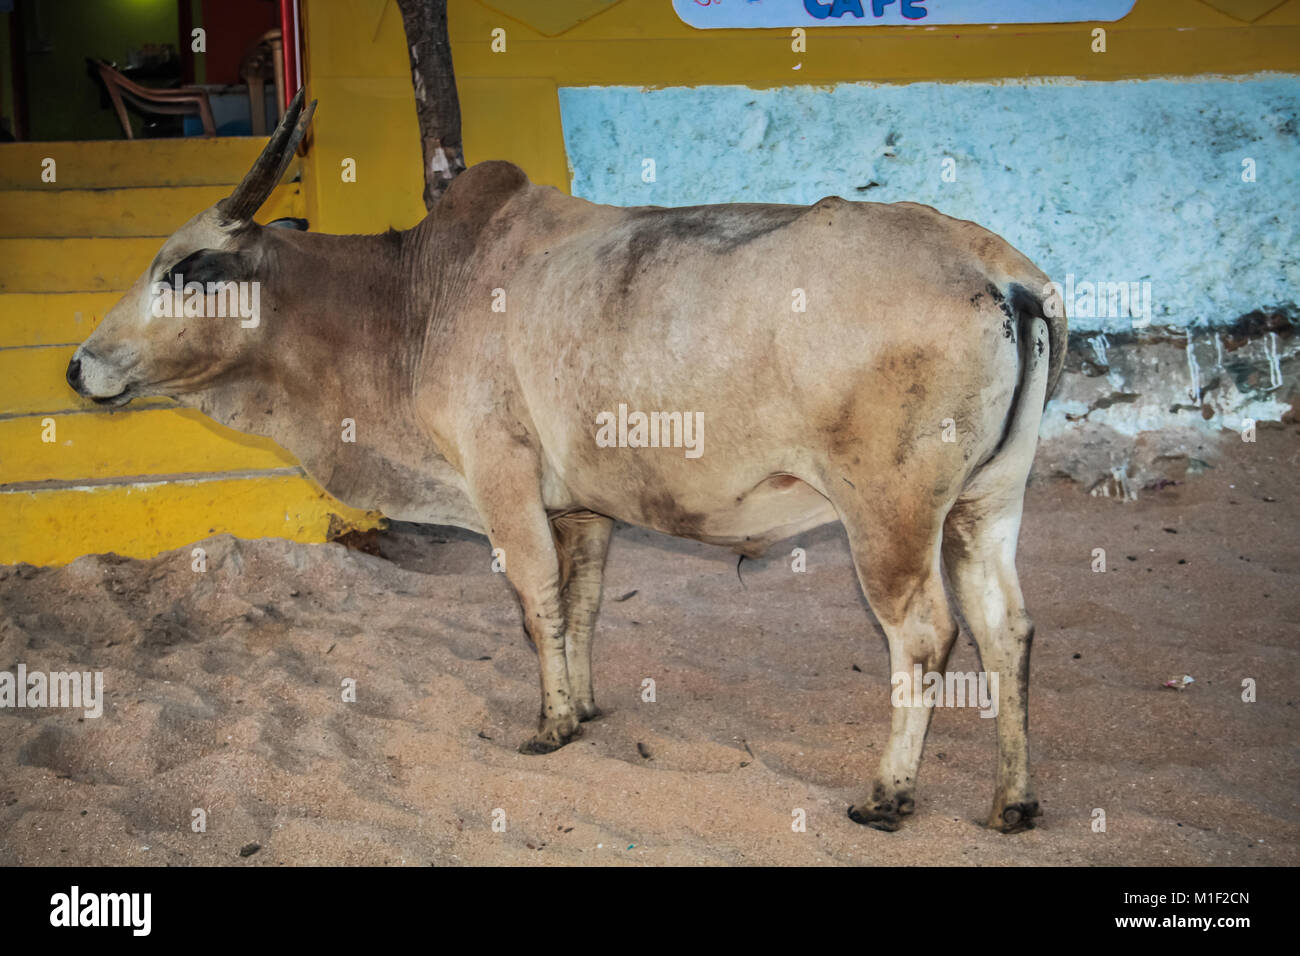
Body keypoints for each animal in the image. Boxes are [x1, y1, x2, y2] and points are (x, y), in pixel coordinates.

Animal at [66, 92, 1066, 832]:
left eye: (185, 270)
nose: (79, 365)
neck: (413, 302)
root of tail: (989, 260)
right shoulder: (582, 505)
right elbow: (581, 604)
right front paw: (584, 711)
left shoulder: (500, 476)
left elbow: (535, 600)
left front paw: (548, 727)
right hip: (985, 506)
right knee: (1006, 628)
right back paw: (1012, 802)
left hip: (888, 516)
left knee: (925, 633)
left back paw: (889, 795)